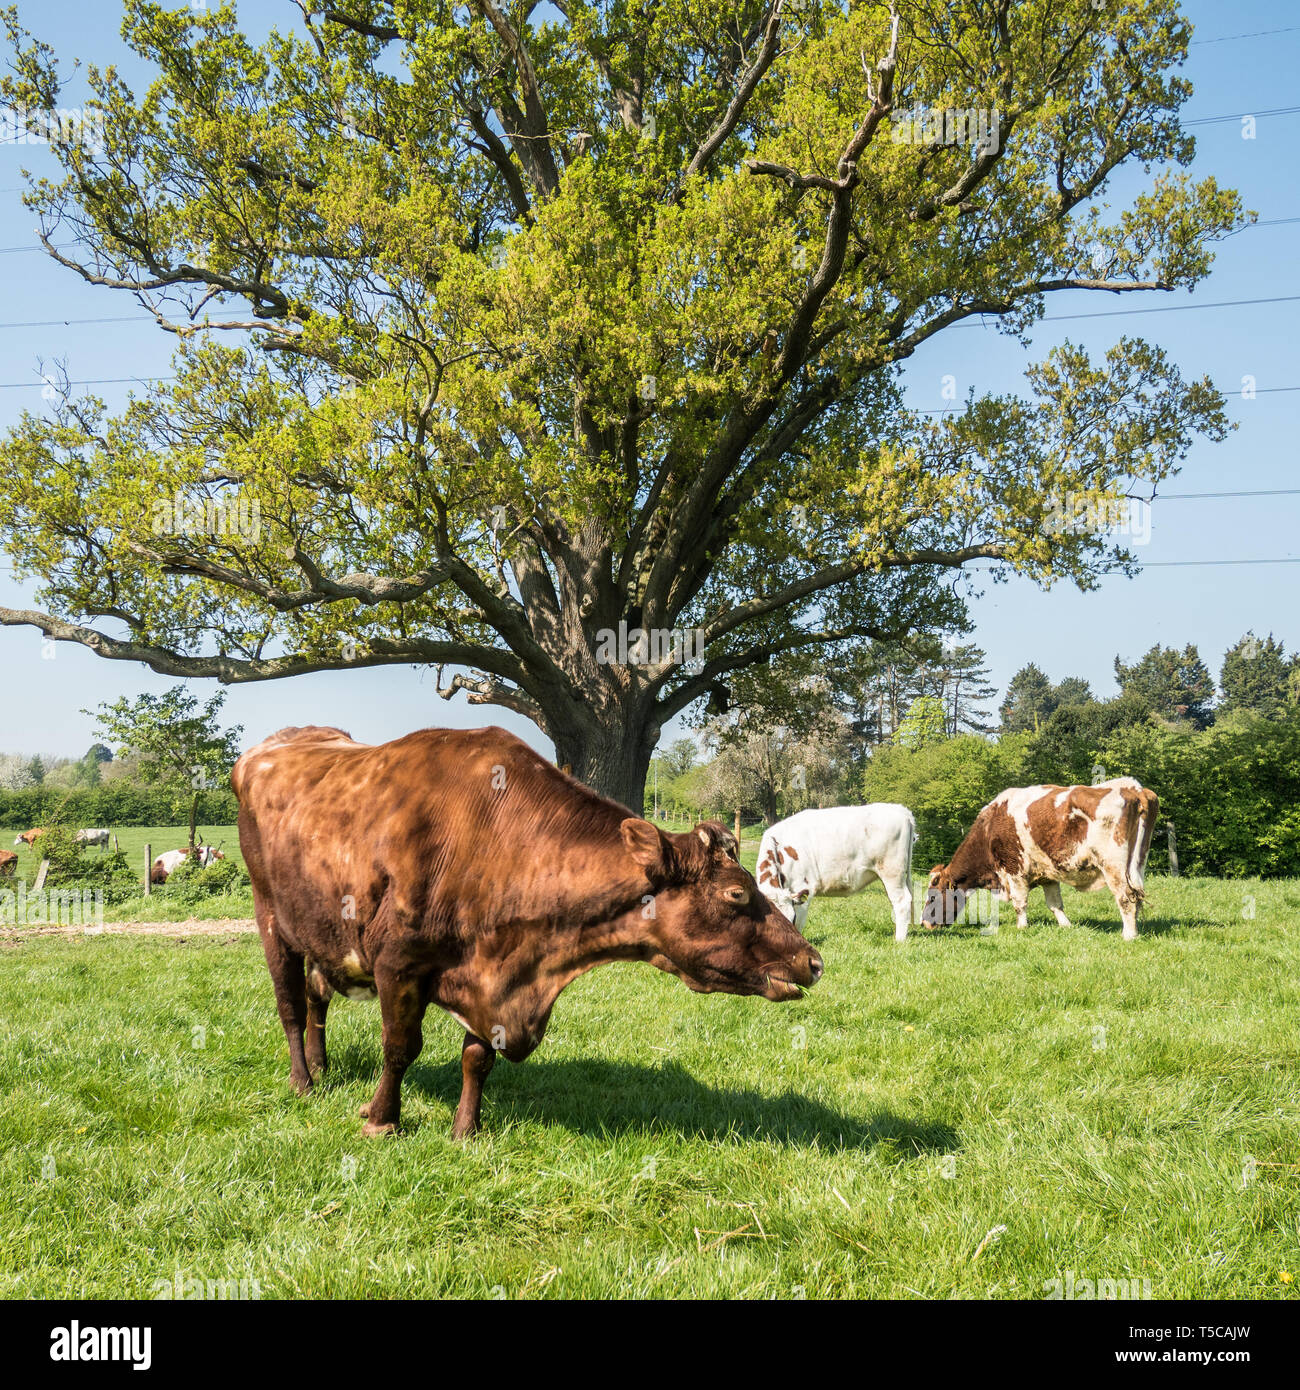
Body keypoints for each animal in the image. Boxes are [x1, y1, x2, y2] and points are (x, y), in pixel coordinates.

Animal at [232, 725, 824, 1139]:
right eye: (736, 895)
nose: (813, 961)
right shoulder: (398, 962)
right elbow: (400, 1046)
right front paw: (381, 1118)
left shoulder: (491, 973)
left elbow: (478, 1057)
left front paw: (465, 1131)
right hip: (271, 919)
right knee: (290, 1003)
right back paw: (303, 1080)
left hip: (320, 930)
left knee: (316, 996)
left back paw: (322, 1063)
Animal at [756, 804, 918, 941]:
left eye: (791, 919)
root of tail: (900, 809)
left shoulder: (803, 886)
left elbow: (799, 923)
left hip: (892, 872)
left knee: (902, 901)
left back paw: (899, 940)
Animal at [923, 778, 1160, 941]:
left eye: (932, 897)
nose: (924, 923)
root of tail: (1133, 787)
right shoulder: (1048, 874)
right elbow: (1055, 904)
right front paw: (1066, 926)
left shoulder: (1014, 870)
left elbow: (1020, 903)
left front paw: (1021, 927)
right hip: (1137, 863)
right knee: (1136, 897)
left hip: (1113, 866)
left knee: (1126, 897)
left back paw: (1129, 935)